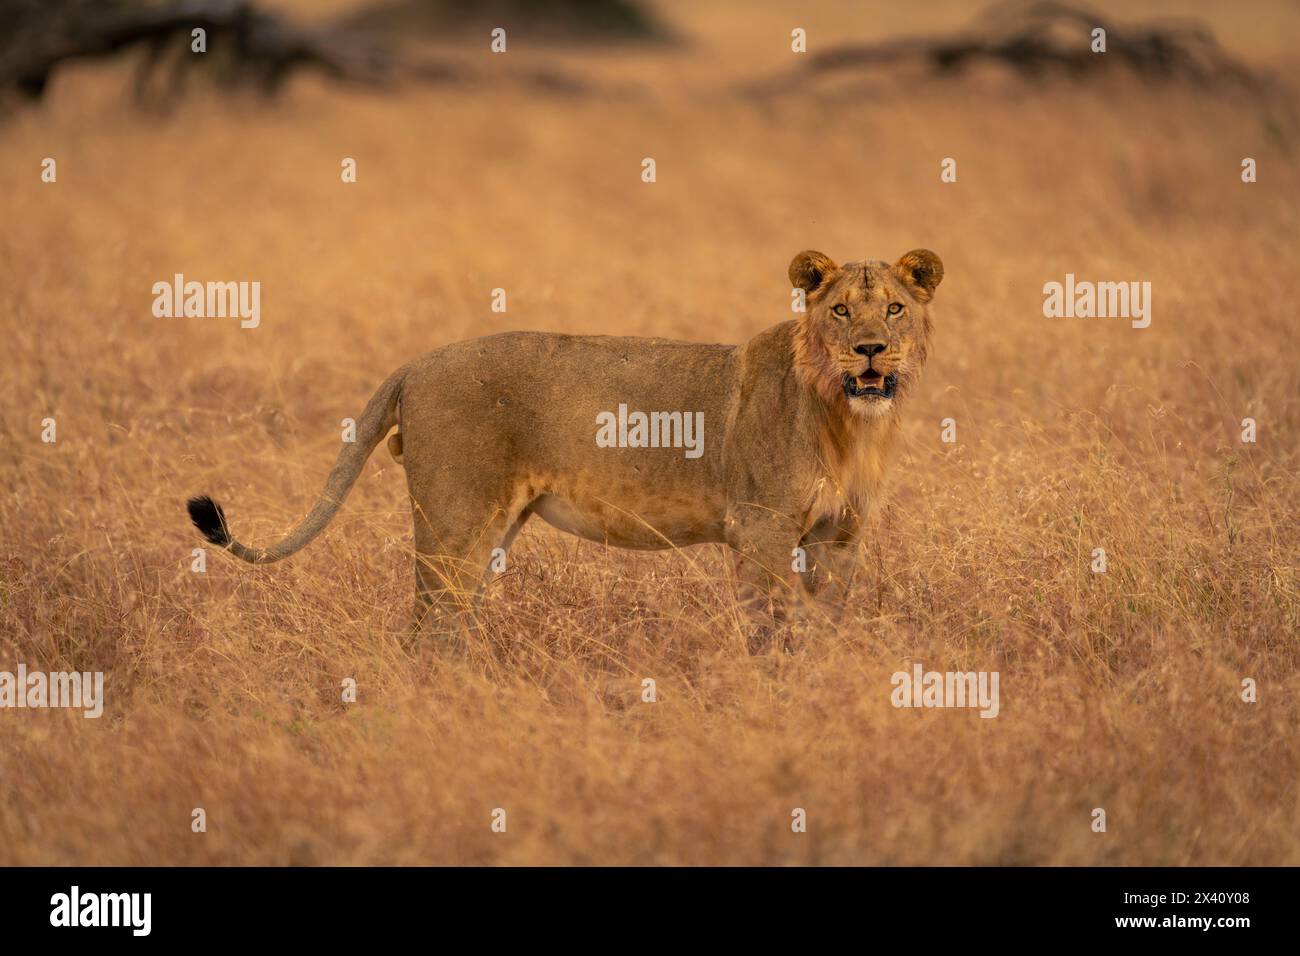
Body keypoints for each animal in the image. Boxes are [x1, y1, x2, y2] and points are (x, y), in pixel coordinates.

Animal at [187, 248, 942, 642]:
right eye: (840, 310)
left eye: (894, 308)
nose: (870, 351)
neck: (849, 423)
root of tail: (417, 363)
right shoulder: (760, 529)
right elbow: (770, 628)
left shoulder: (840, 537)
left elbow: (825, 625)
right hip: (456, 519)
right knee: (429, 622)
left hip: (493, 526)